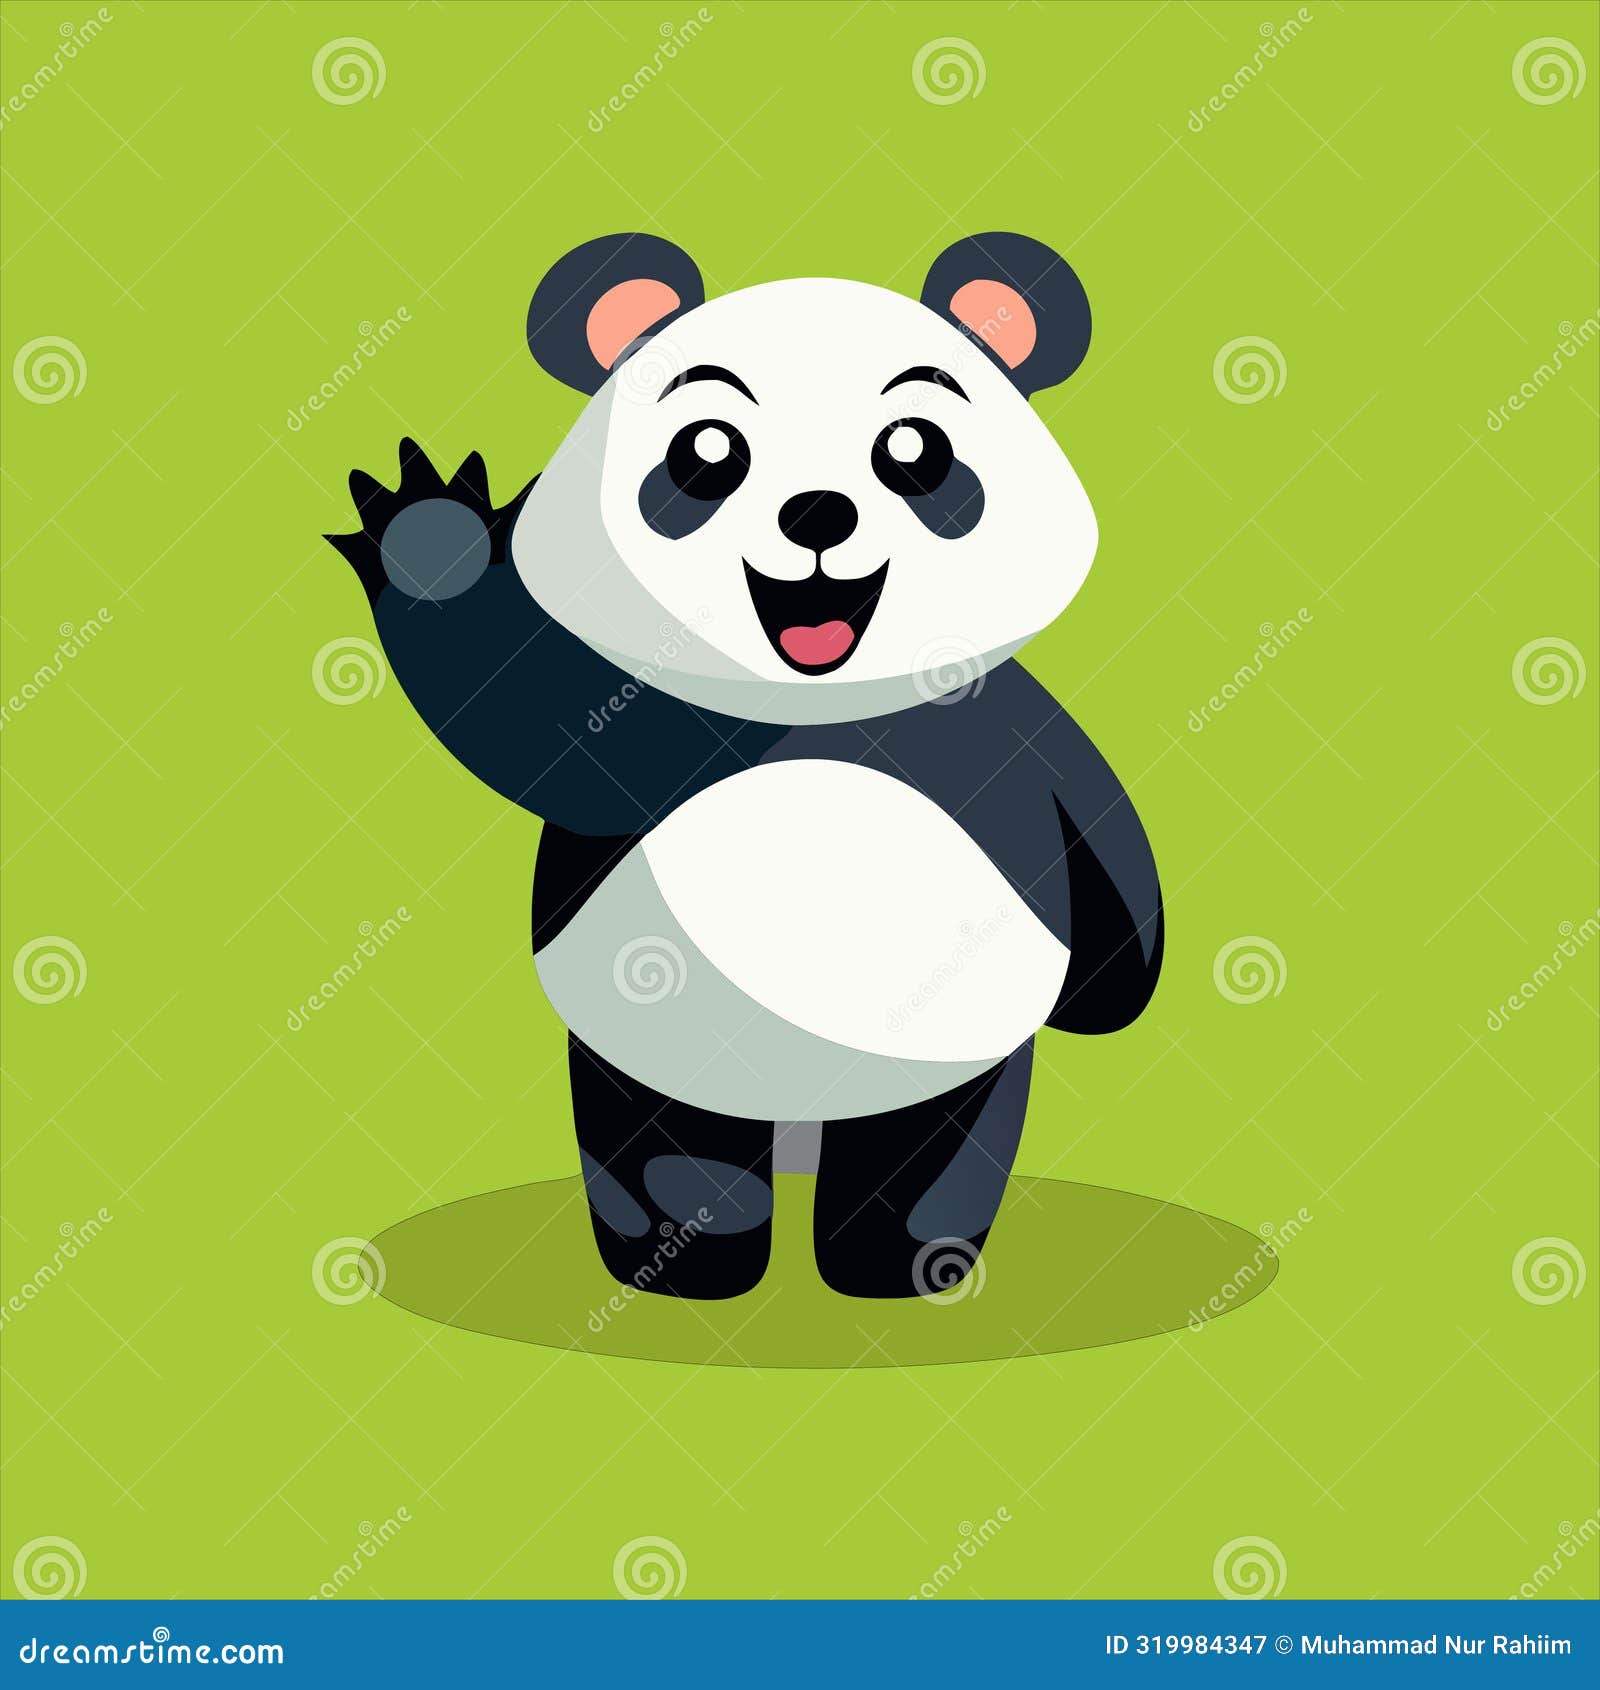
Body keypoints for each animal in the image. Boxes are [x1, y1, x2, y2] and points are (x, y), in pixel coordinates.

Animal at [326, 231, 1163, 1301]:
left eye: (916, 451)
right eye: (707, 453)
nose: (817, 514)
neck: (818, 708)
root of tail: (802, 1126)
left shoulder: (998, 735)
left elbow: (1100, 834)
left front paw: (1118, 986)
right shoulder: (659, 722)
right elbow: (531, 726)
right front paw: (433, 535)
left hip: (954, 1052)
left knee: (935, 1143)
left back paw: (901, 1256)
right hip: (647, 1056)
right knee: (664, 1145)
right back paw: (684, 1254)